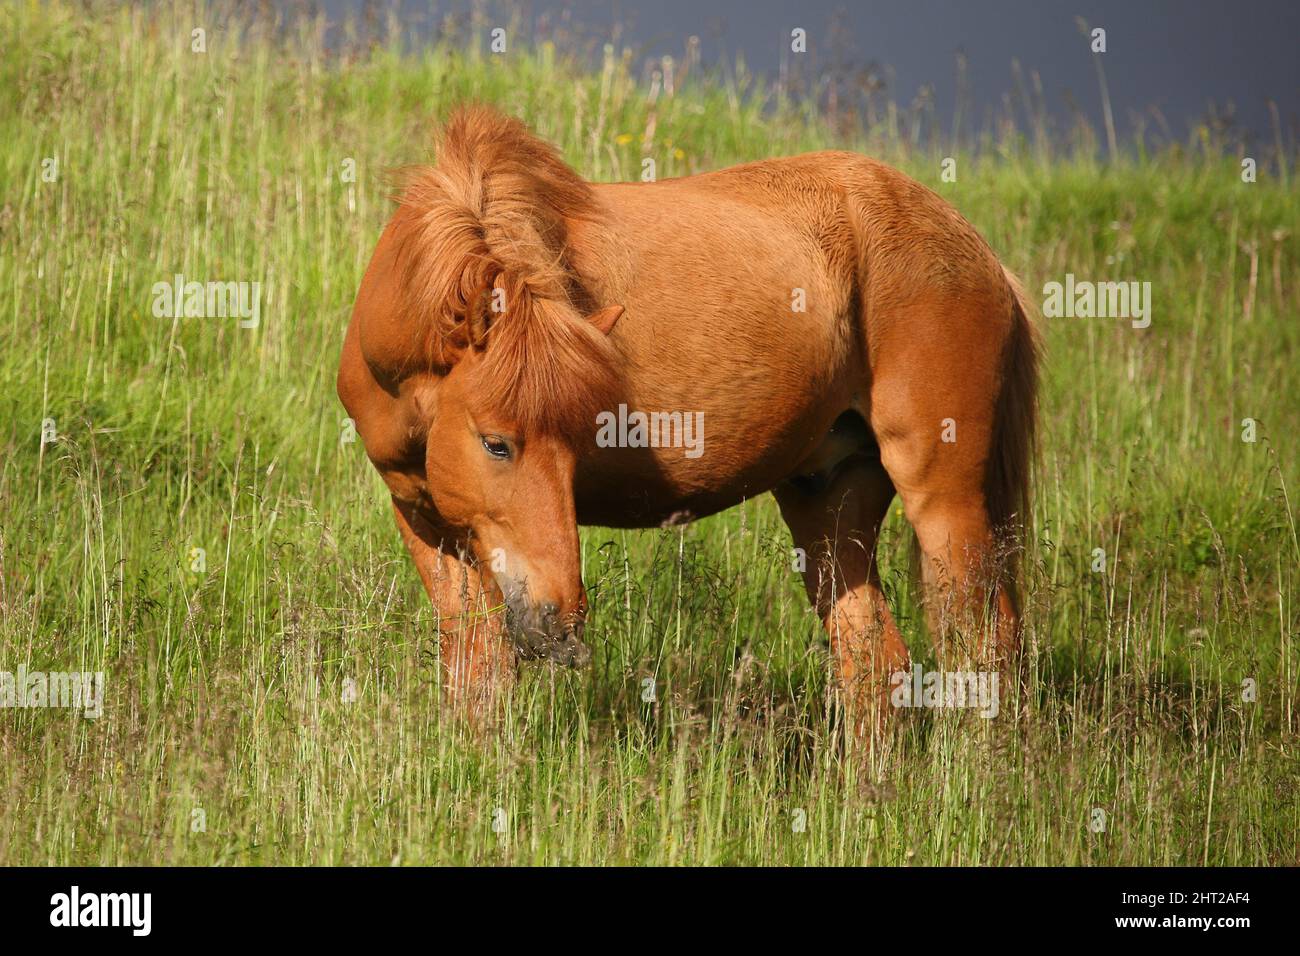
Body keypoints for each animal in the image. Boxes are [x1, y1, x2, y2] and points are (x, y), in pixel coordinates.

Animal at [337, 106, 1040, 727]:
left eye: (578, 443)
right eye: (496, 444)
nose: (562, 618)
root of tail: (977, 249)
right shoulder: (427, 521)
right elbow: (476, 670)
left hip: (944, 496)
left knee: (985, 645)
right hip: (832, 502)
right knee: (875, 662)